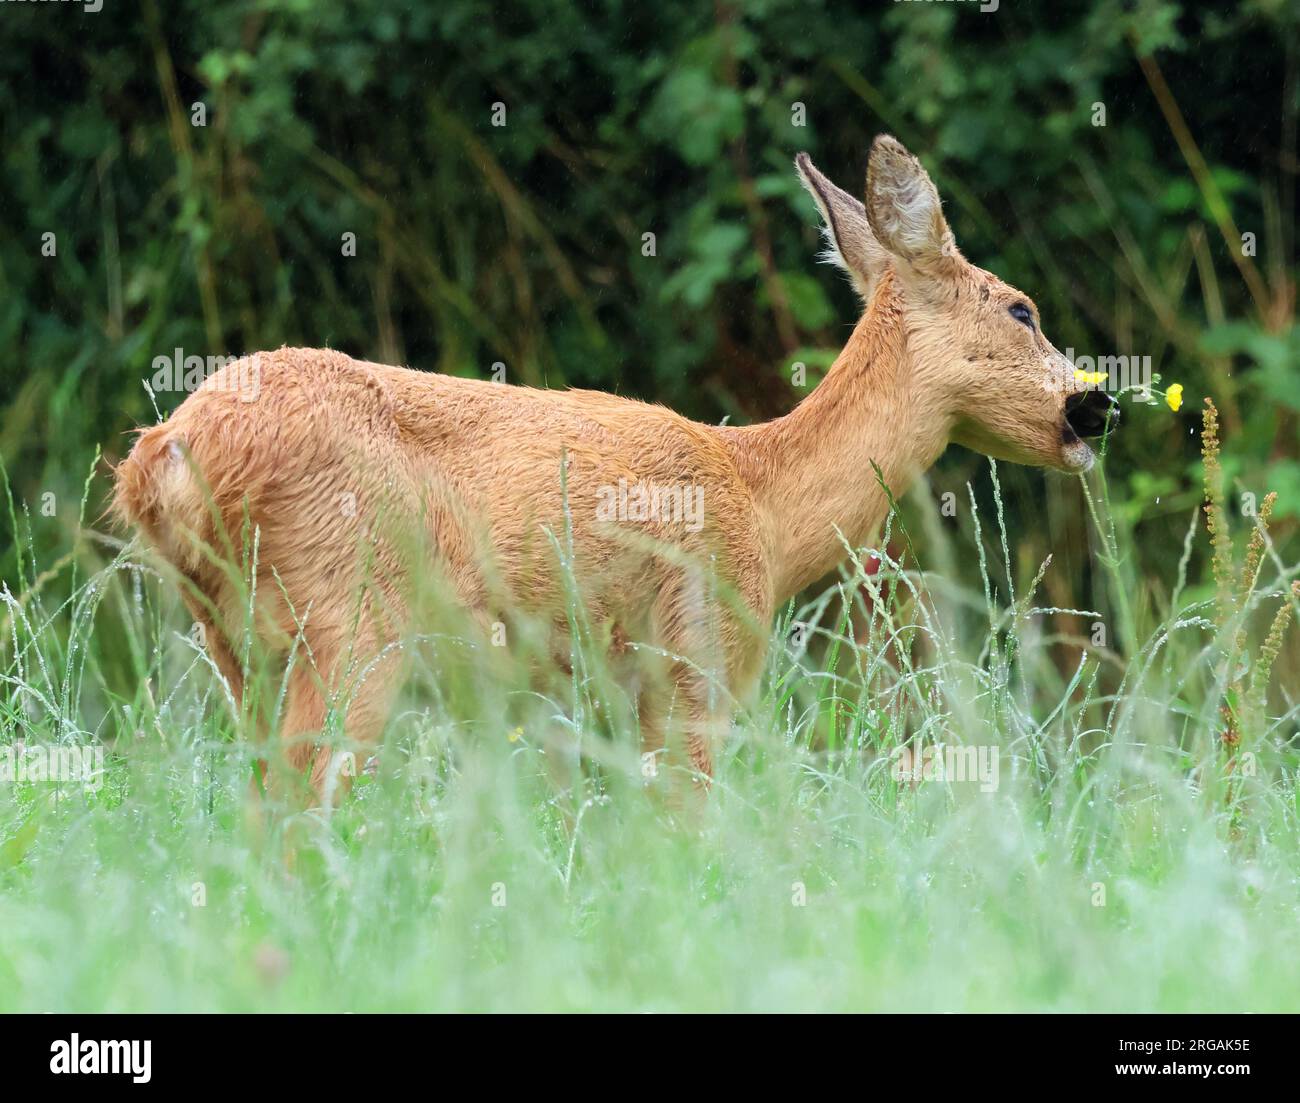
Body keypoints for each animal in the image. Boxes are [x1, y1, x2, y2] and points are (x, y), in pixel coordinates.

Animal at [112, 135, 1118, 810]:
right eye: (1023, 310)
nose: (1095, 405)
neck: (760, 496)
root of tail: (163, 457)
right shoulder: (698, 654)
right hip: (351, 617)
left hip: (237, 641)